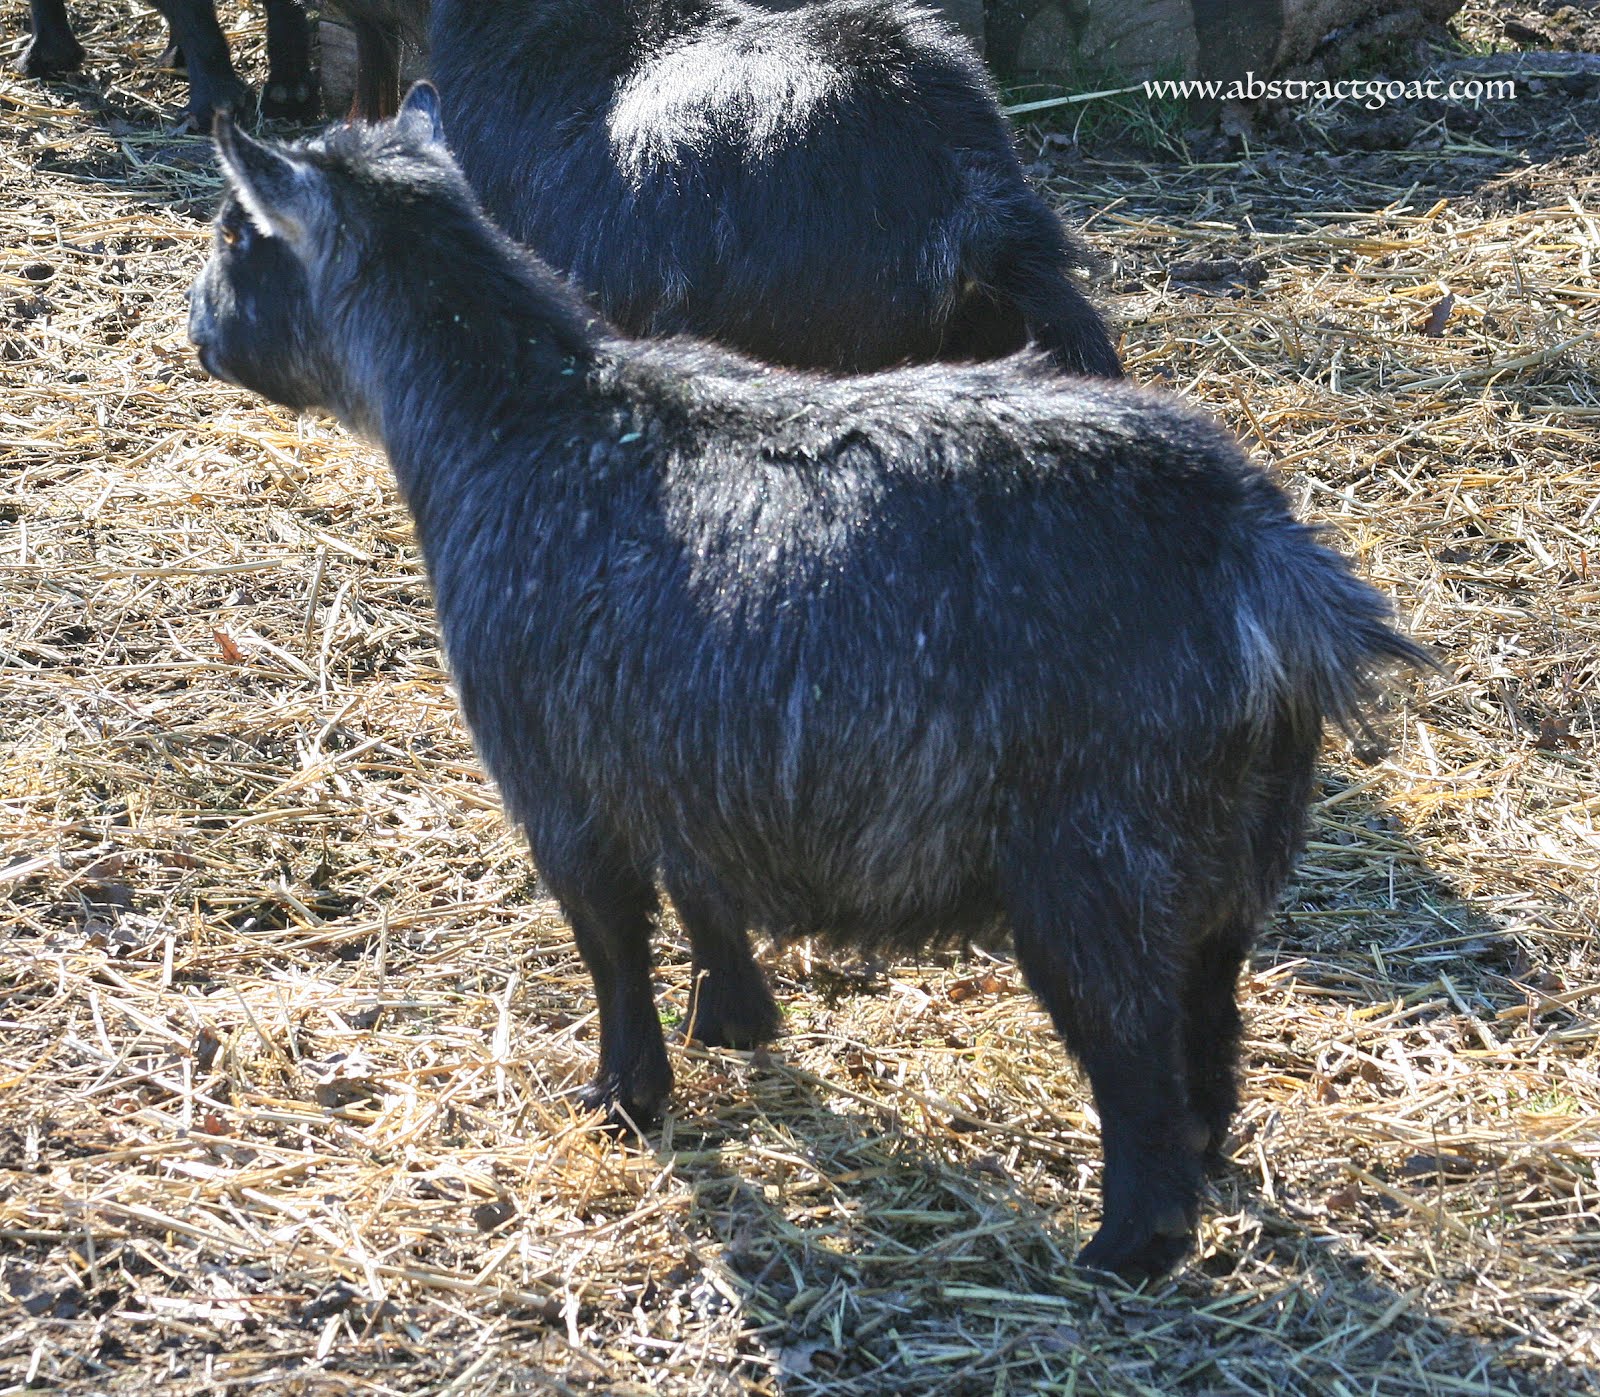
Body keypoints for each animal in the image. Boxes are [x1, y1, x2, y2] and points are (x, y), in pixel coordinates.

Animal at [186, 87, 1428, 1279]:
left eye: (235, 233)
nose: (199, 331)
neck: (519, 423)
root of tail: (1261, 565)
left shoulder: (555, 775)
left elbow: (609, 936)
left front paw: (625, 1097)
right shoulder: (682, 748)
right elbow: (704, 887)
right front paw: (733, 1021)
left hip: (1098, 864)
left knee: (1133, 1054)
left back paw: (1128, 1249)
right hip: (1225, 860)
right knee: (1207, 1028)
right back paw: (1199, 1169)